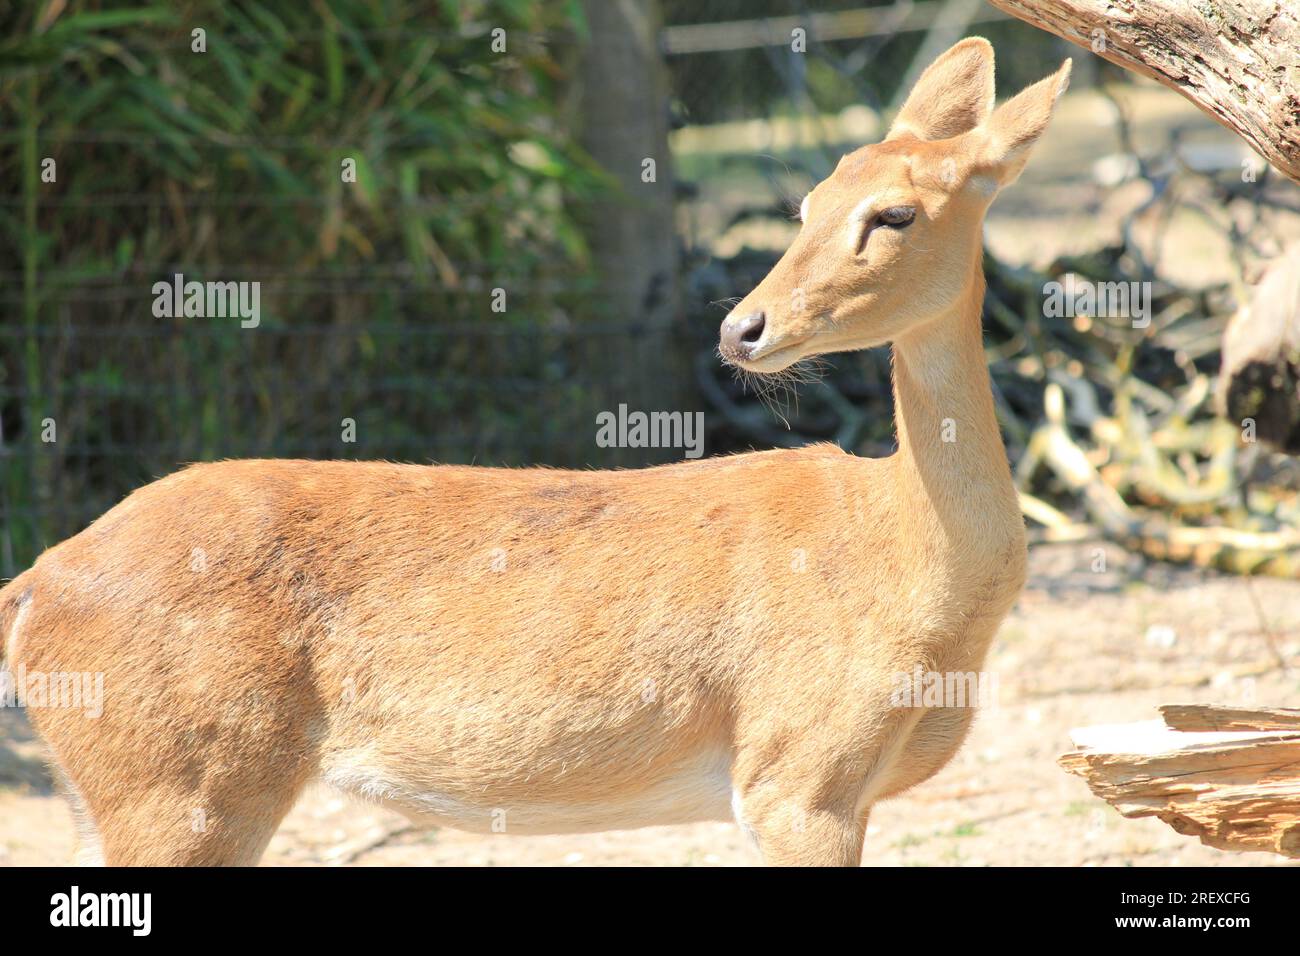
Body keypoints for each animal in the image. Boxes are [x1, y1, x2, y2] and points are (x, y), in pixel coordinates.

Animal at [0, 39, 1068, 866]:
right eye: (806, 202)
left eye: (894, 211)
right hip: (178, 782)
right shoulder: (794, 770)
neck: (910, 570)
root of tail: (33, 585)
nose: (742, 329)